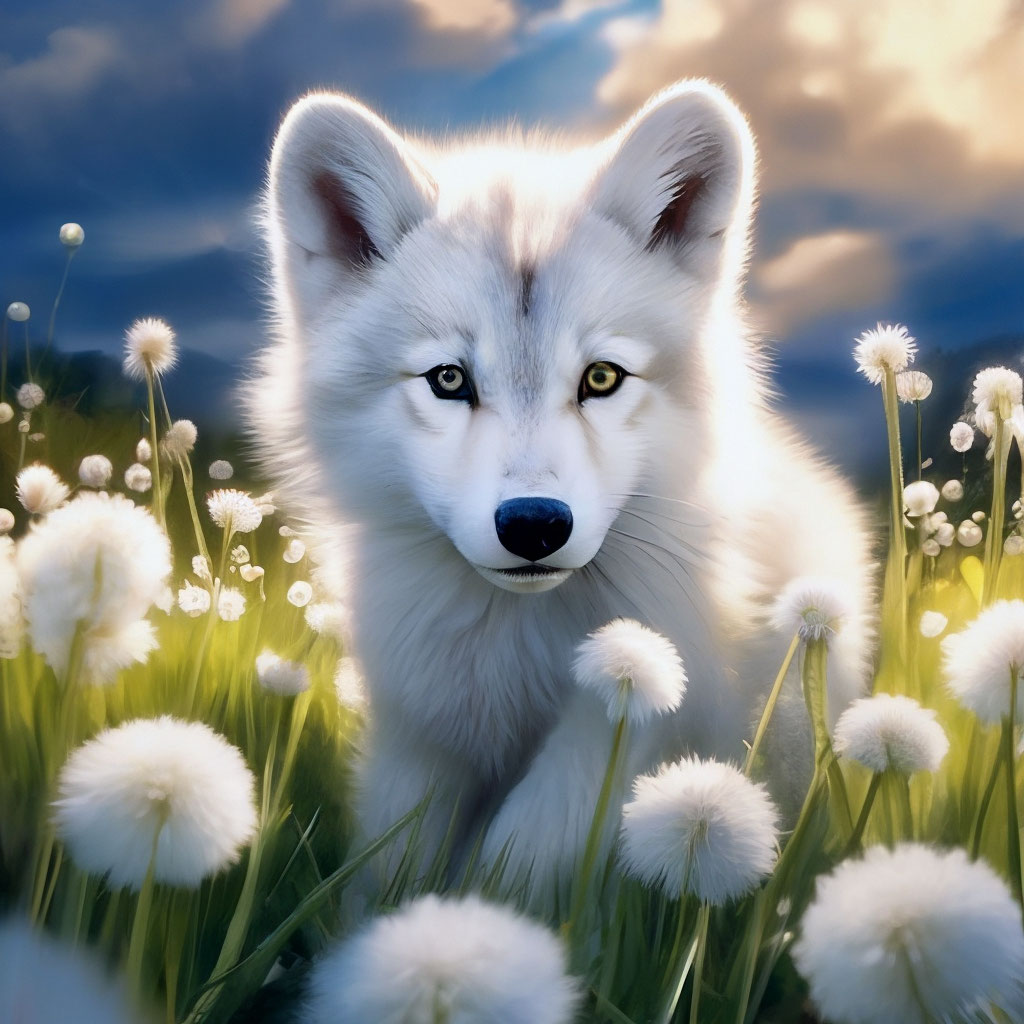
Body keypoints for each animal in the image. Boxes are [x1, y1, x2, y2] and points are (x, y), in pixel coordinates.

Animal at [249, 79, 874, 900]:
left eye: (601, 378)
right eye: (448, 379)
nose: (534, 525)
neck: (514, 642)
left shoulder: (627, 723)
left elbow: (520, 856)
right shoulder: (417, 740)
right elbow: (395, 869)